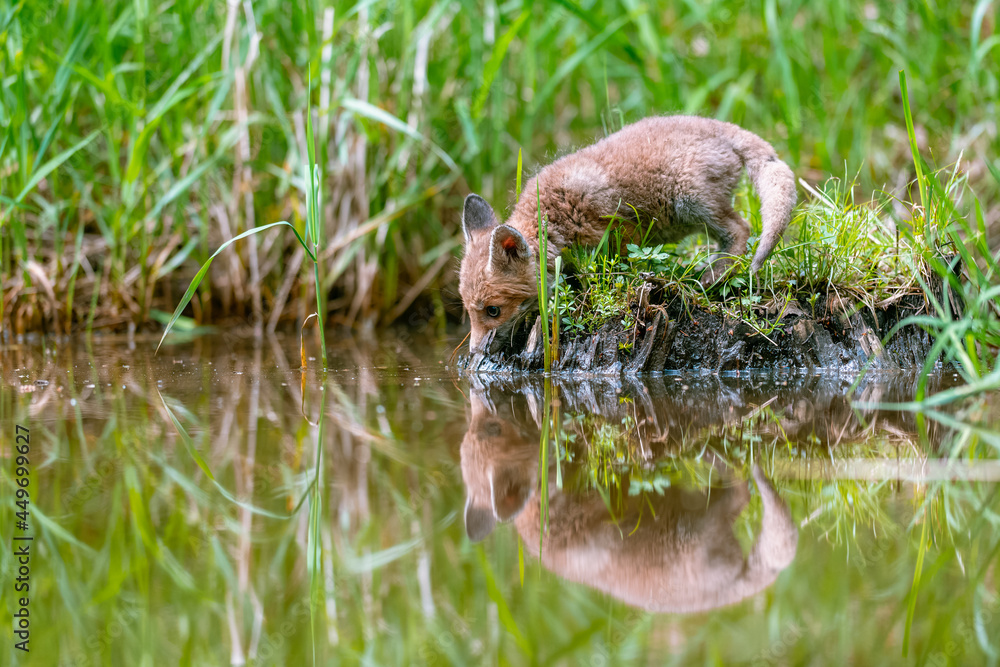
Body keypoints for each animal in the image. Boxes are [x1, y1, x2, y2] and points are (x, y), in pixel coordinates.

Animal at [459, 115, 797, 354]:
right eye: (468, 311)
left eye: (493, 310)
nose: (474, 354)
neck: (553, 215)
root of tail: (719, 126)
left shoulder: (619, 234)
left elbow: (613, 274)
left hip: (691, 200)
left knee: (742, 230)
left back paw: (712, 276)